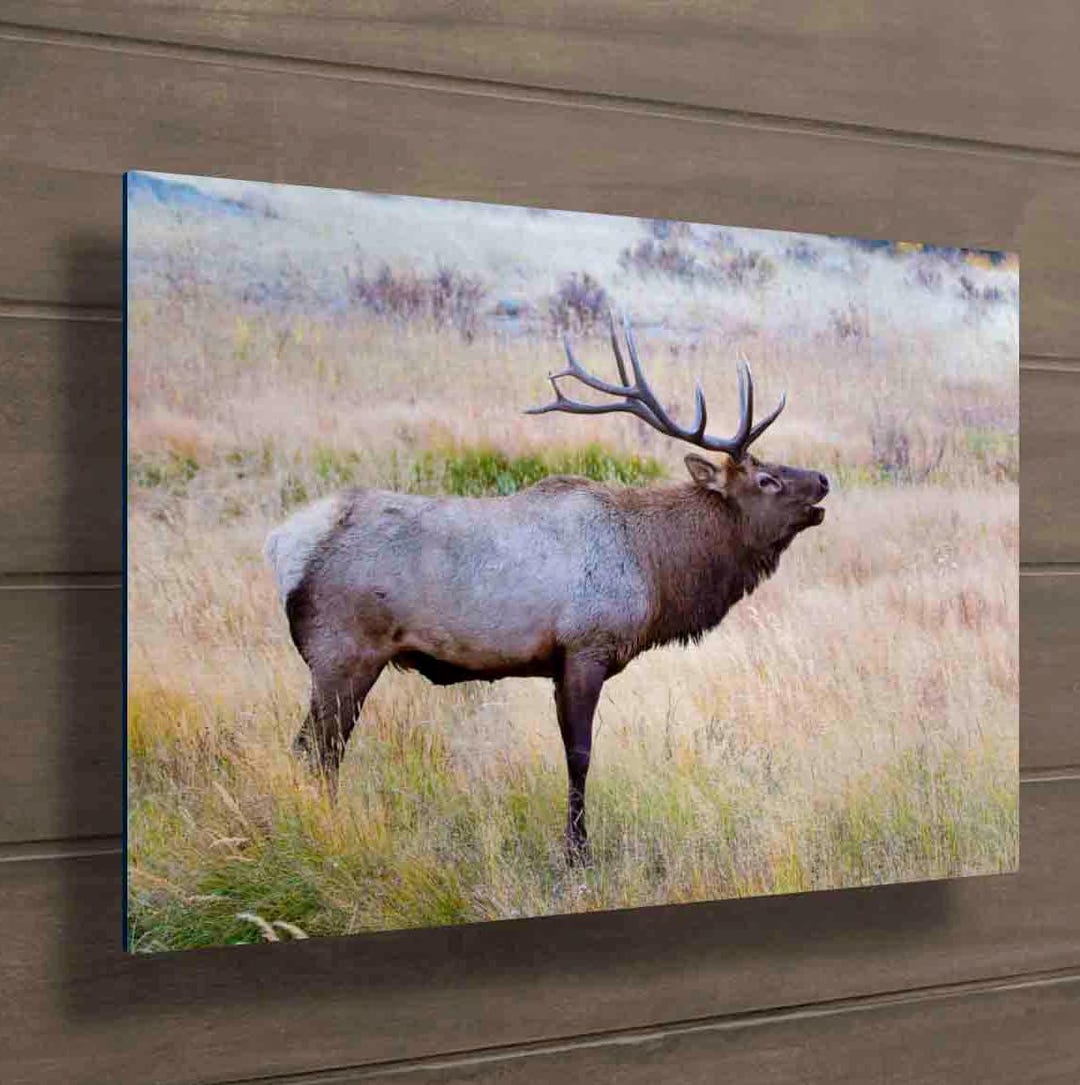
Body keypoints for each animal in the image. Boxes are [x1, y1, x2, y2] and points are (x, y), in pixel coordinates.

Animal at [265, 318, 829, 859]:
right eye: (766, 480)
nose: (823, 480)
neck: (655, 568)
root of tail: (282, 544)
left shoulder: (558, 662)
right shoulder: (585, 646)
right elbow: (579, 755)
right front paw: (578, 853)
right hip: (343, 651)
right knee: (316, 749)